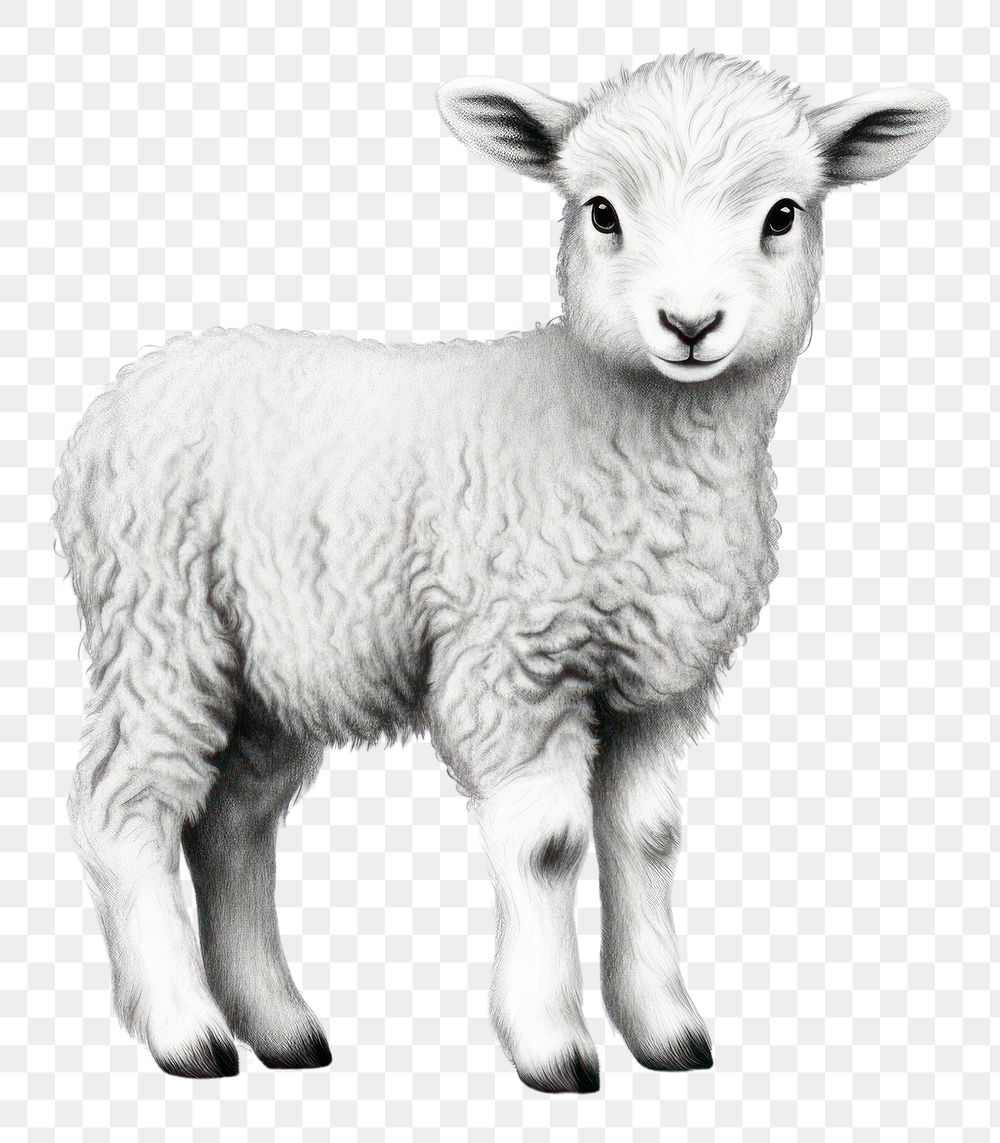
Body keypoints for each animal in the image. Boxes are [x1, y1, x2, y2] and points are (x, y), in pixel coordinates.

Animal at [53, 51, 948, 1092]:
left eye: (783, 213)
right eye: (600, 212)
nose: (690, 323)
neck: (615, 428)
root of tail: (118, 400)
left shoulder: (657, 681)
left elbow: (647, 836)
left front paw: (665, 1028)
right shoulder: (514, 658)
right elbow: (550, 844)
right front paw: (552, 1041)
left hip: (271, 665)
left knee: (233, 823)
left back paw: (279, 1025)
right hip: (158, 619)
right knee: (126, 803)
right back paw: (185, 1030)